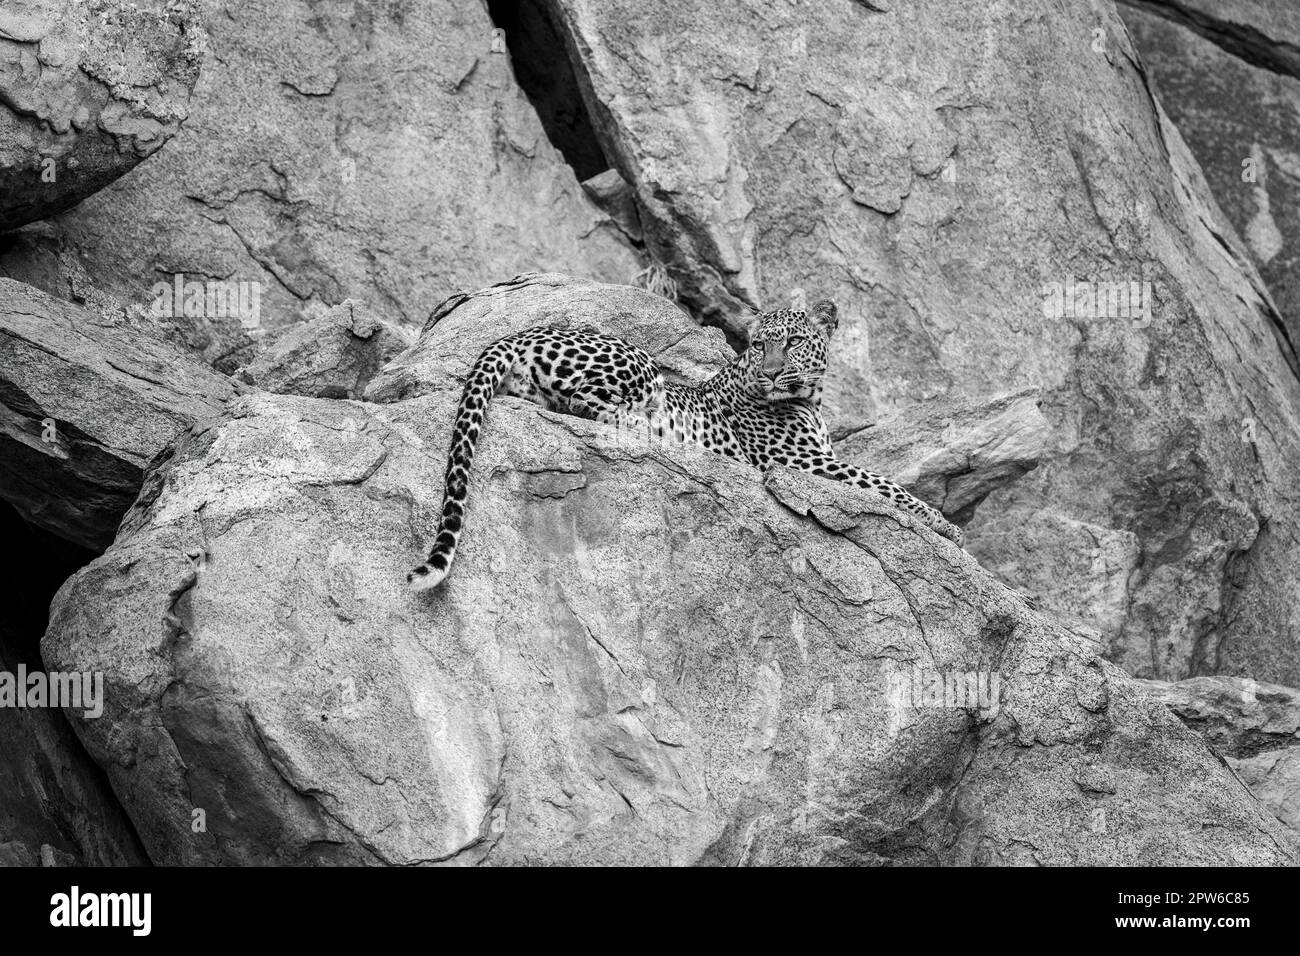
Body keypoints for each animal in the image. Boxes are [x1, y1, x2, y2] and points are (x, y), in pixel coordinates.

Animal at [407, 298, 965, 591]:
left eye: (794, 343)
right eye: (760, 344)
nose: (771, 372)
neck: (809, 398)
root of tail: (518, 333)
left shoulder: (814, 457)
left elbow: (880, 480)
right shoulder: (800, 460)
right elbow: (883, 482)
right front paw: (944, 525)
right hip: (638, 366)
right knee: (592, 405)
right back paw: (655, 428)